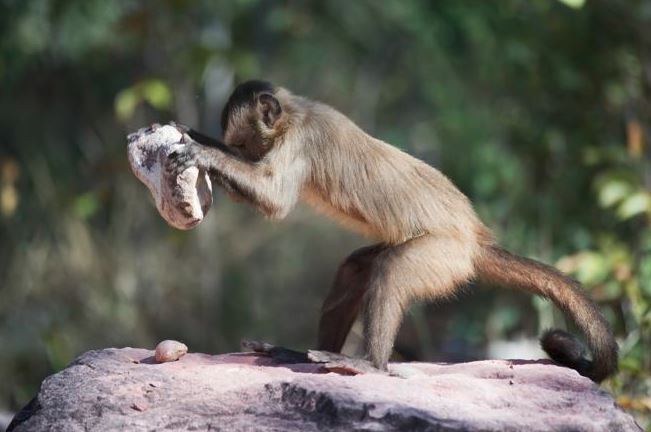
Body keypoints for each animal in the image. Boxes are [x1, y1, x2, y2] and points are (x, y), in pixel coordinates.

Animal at [165, 79, 618, 383]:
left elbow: (274, 200)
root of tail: (475, 239)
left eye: (242, 147)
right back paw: (297, 354)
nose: (234, 152)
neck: (297, 113)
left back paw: (371, 364)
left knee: (394, 270)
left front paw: (203, 152)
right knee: (356, 267)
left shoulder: (301, 140)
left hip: (444, 254)